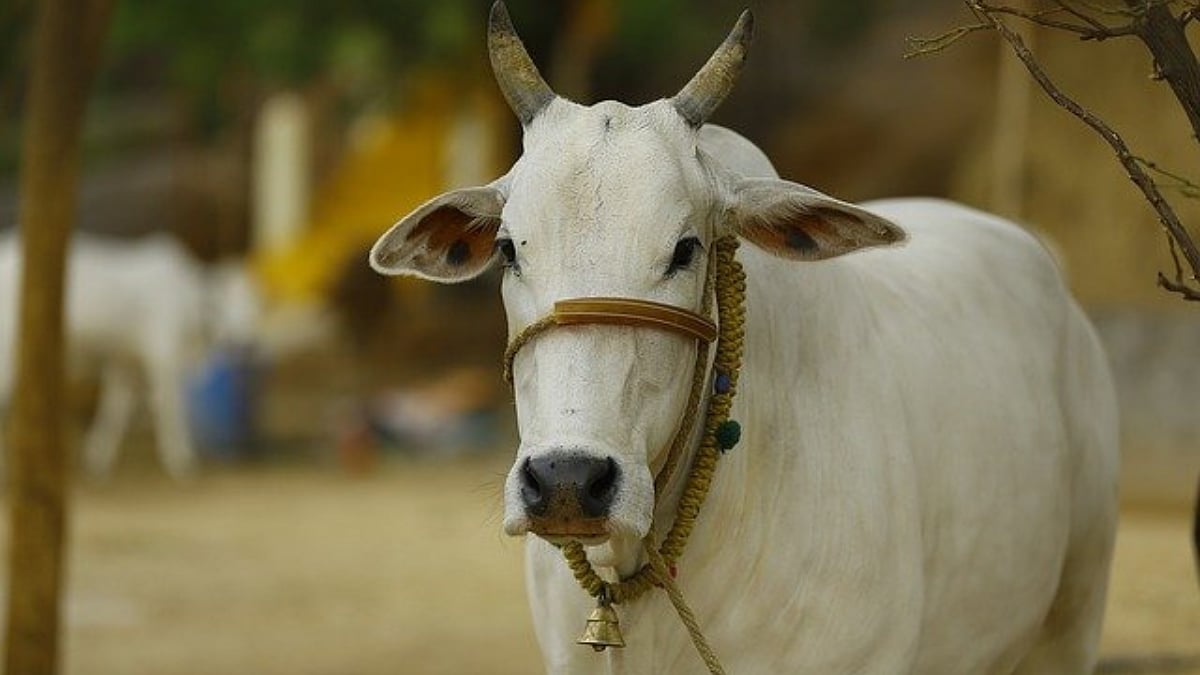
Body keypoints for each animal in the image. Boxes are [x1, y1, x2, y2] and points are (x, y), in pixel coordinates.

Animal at [0, 231, 260, 480]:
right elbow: (171, 410)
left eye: (256, 306)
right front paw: (181, 460)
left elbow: (115, 409)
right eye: (221, 306)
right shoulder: (163, 359)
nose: (246, 343)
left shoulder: (125, 362)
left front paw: (97, 459)